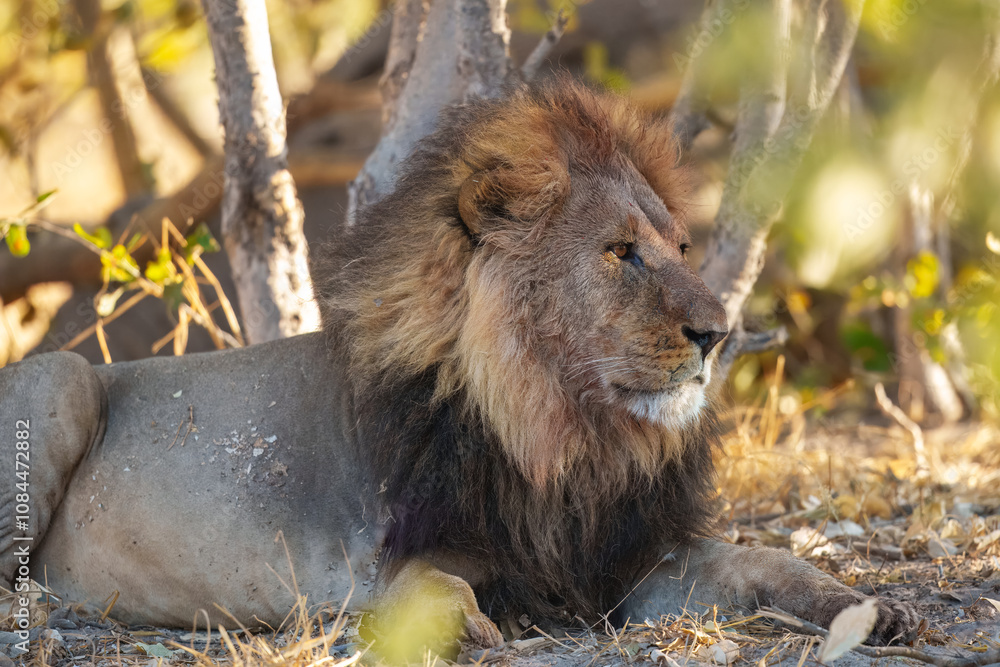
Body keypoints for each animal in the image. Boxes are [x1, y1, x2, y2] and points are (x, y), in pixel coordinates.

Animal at [1, 81, 918, 656]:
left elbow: (771, 561)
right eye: (620, 252)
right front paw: (466, 625)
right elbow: (427, 585)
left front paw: (868, 606)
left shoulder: (621, 560)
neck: (563, 437)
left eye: (683, 248)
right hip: (64, 378)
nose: (719, 333)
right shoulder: (369, 560)